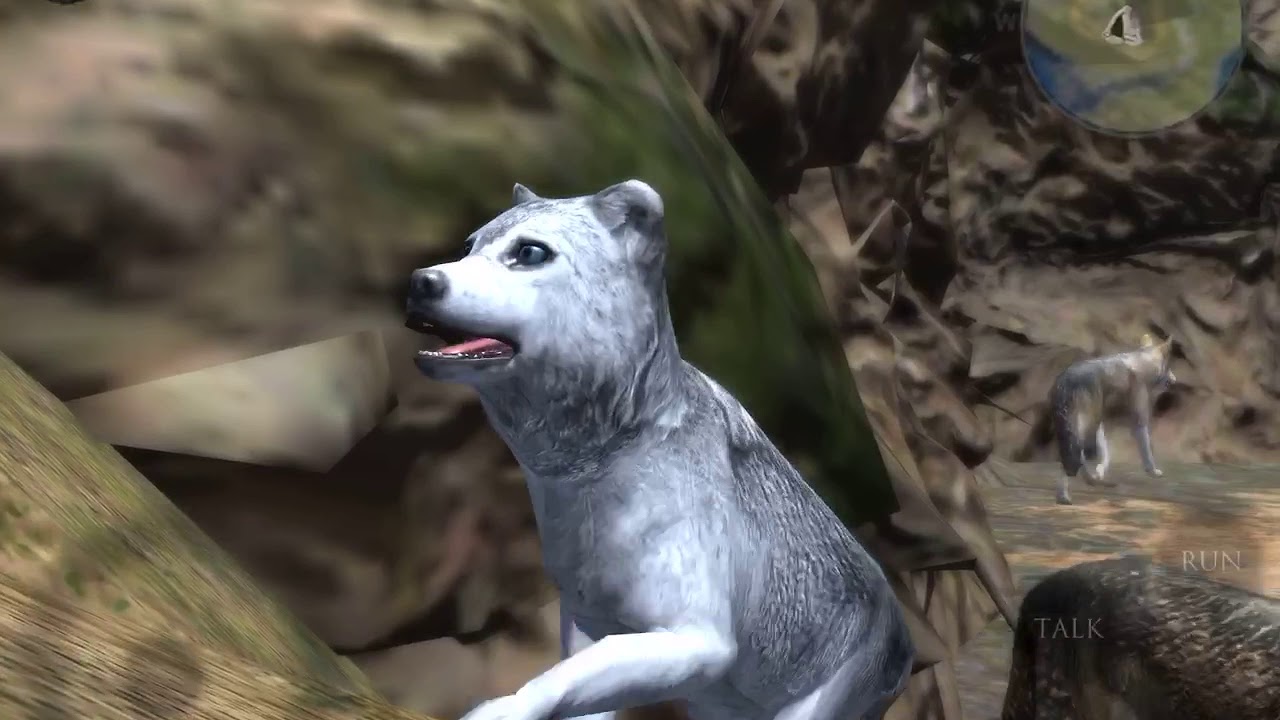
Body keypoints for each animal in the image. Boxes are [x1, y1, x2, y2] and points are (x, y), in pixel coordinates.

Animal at [403, 180, 913, 720]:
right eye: (468, 246)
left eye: (529, 252)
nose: (421, 282)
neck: (600, 467)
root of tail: (907, 643)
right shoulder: (586, 619)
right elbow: (577, 684)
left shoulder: (699, 639)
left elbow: (556, 681)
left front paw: (499, 709)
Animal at [1049, 334, 1175, 505]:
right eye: (1169, 367)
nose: (1175, 379)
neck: (1140, 365)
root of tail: (1067, 381)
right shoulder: (1138, 419)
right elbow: (1146, 450)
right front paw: (1153, 471)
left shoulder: (1103, 421)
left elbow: (1106, 453)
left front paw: (1100, 472)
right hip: (1085, 425)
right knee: (1074, 458)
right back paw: (1069, 493)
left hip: (1078, 426)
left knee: (1071, 458)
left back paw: (1080, 486)